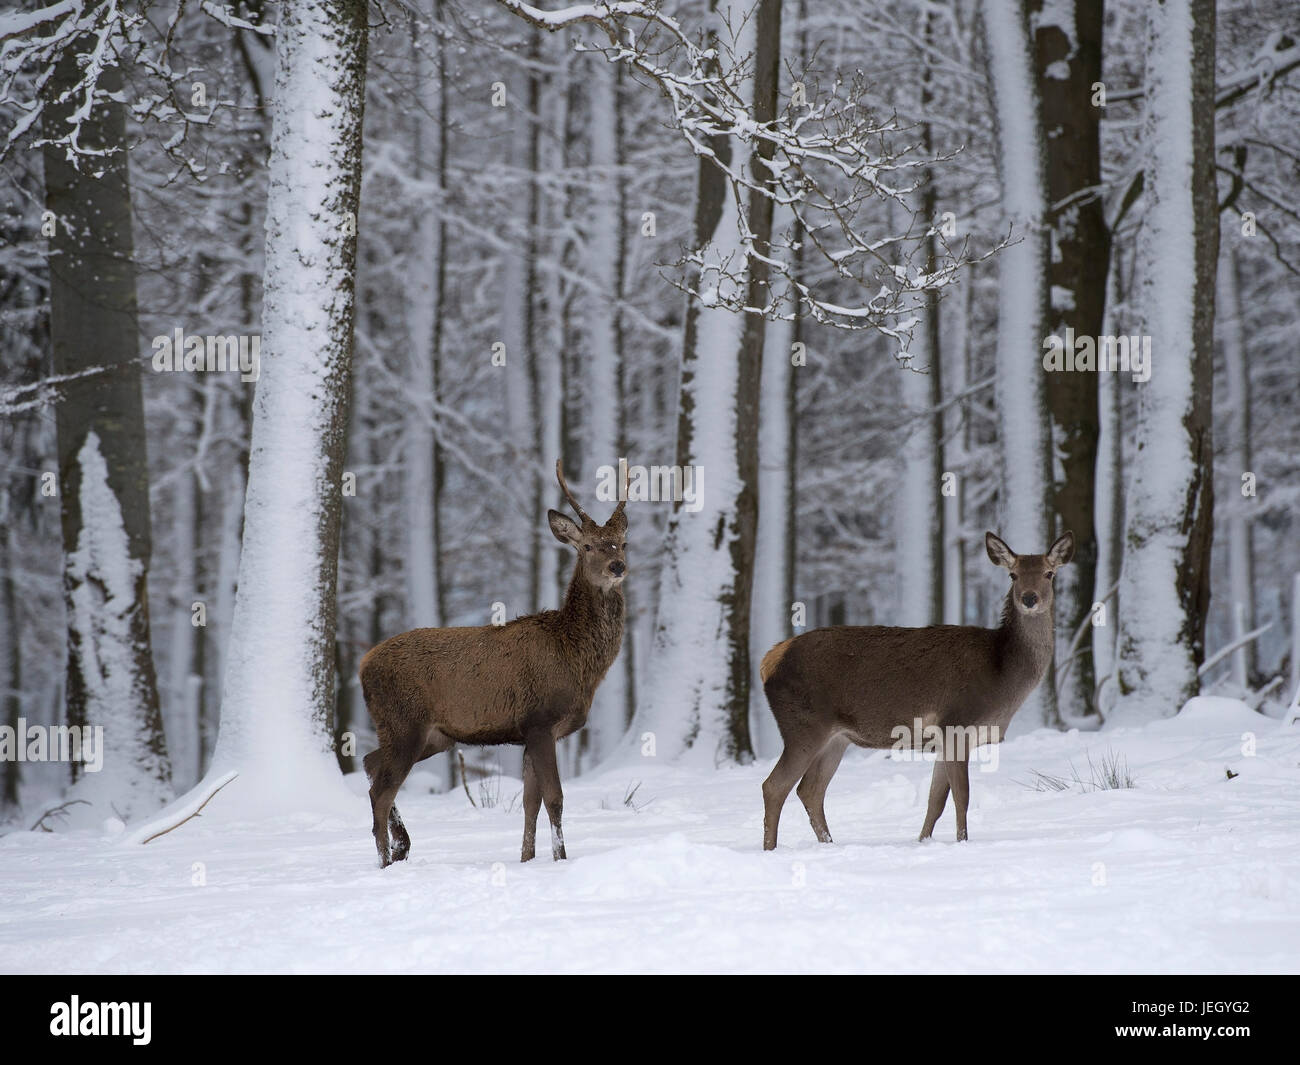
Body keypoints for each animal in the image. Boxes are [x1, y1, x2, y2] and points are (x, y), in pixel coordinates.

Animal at [360, 460, 627, 868]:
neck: (575, 658)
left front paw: (527, 859)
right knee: (380, 791)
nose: (617, 566)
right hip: (403, 722)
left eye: (624, 542)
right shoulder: (540, 720)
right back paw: (387, 860)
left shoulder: (530, 733)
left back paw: (402, 845)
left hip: (429, 734)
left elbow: (531, 802)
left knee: (369, 763)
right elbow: (555, 798)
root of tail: (363, 666)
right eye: (588, 546)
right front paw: (561, 860)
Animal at [759, 530, 1074, 850]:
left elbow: (935, 801)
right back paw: (771, 849)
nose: (1029, 598)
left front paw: (923, 841)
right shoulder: (956, 724)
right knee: (774, 786)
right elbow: (962, 797)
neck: (1002, 676)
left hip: (837, 738)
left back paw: (829, 843)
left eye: (1049, 573)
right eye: (1013, 574)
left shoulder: (946, 739)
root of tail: (769, 659)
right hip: (803, 726)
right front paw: (963, 843)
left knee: (810, 790)